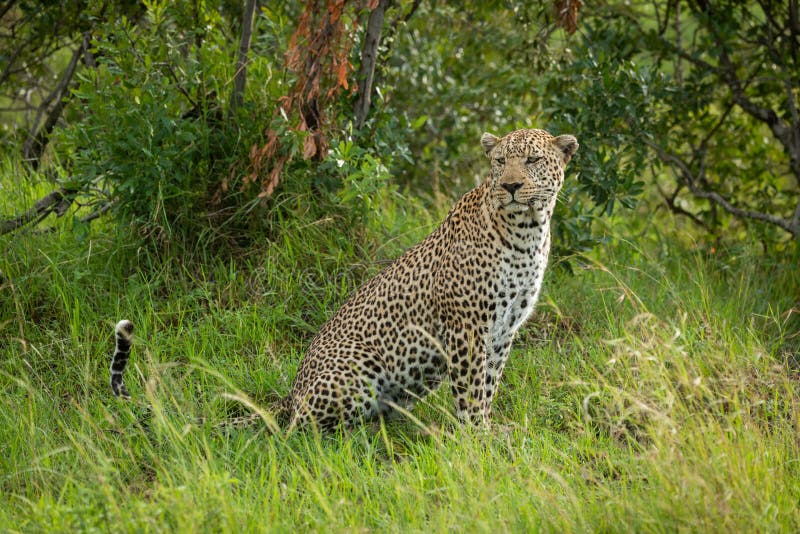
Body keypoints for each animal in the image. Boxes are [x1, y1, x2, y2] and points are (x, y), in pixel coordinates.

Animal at [109, 127, 578, 432]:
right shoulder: (466, 328)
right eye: (500, 162)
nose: (511, 185)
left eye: (532, 160)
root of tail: (290, 394)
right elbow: (470, 391)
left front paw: (487, 433)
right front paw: (473, 442)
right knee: (299, 432)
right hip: (357, 371)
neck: (527, 231)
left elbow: (489, 386)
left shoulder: (502, 330)